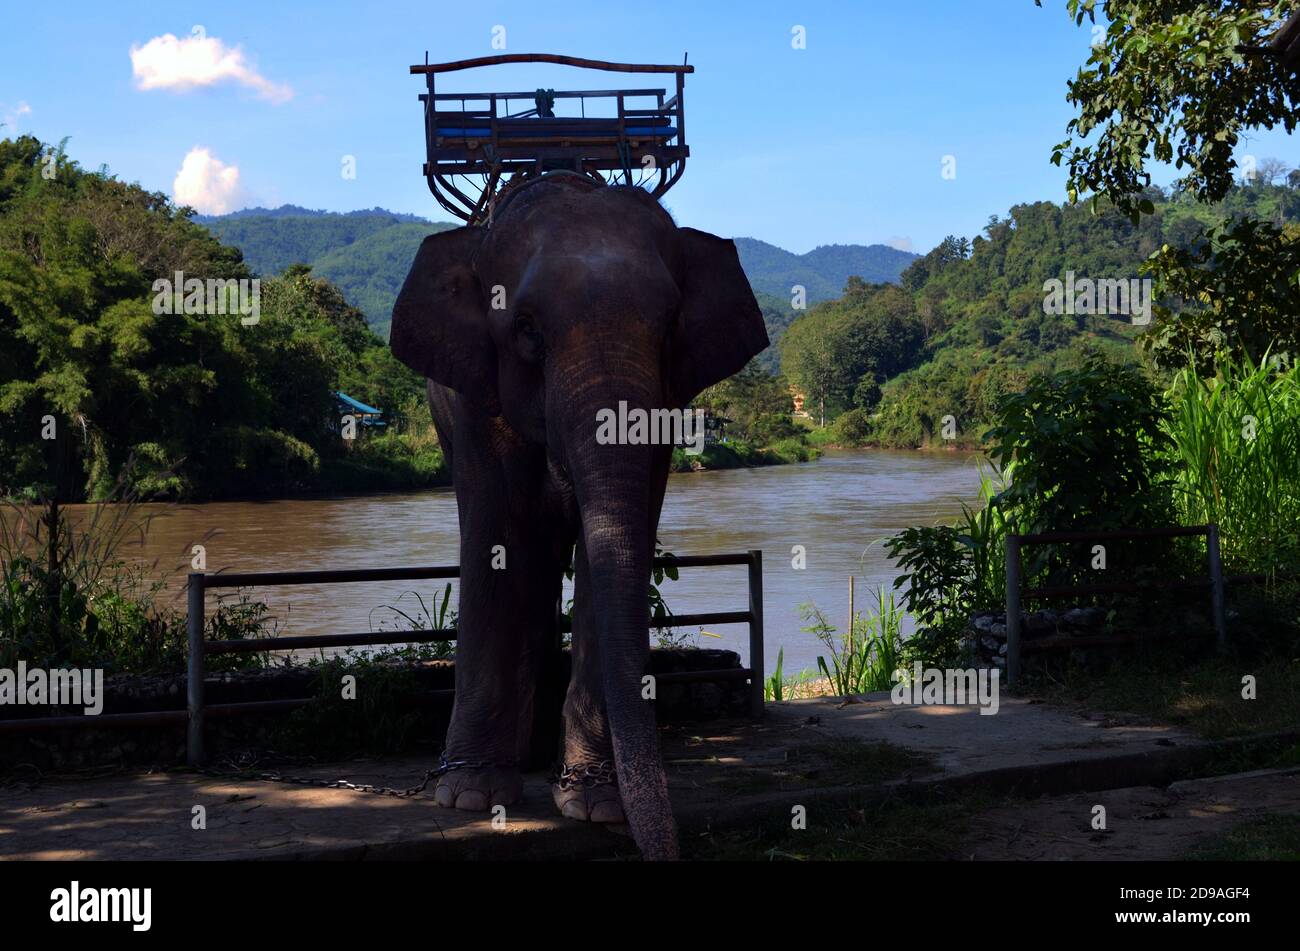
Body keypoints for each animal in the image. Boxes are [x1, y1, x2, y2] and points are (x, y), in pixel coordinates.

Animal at [388, 173, 768, 860]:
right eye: (527, 329)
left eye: (670, 325)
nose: (667, 848)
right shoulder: (476, 403)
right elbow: (497, 538)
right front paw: (471, 798)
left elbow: (612, 546)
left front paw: (596, 804)